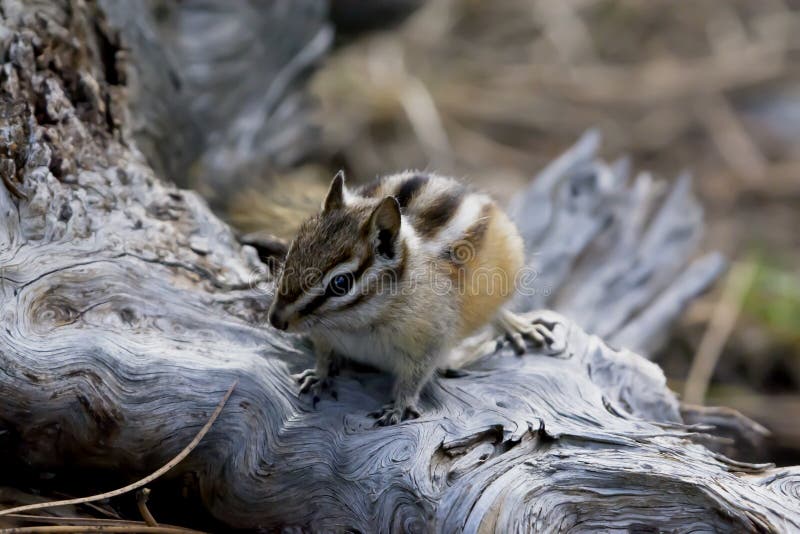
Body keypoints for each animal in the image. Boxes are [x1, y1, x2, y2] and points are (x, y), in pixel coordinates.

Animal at [268, 171, 554, 425]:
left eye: (341, 283)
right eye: (292, 251)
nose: (275, 320)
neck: (355, 324)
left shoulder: (428, 341)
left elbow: (414, 377)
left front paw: (400, 406)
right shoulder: (324, 335)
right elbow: (324, 355)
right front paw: (318, 375)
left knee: (498, 310)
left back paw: (517, 327)